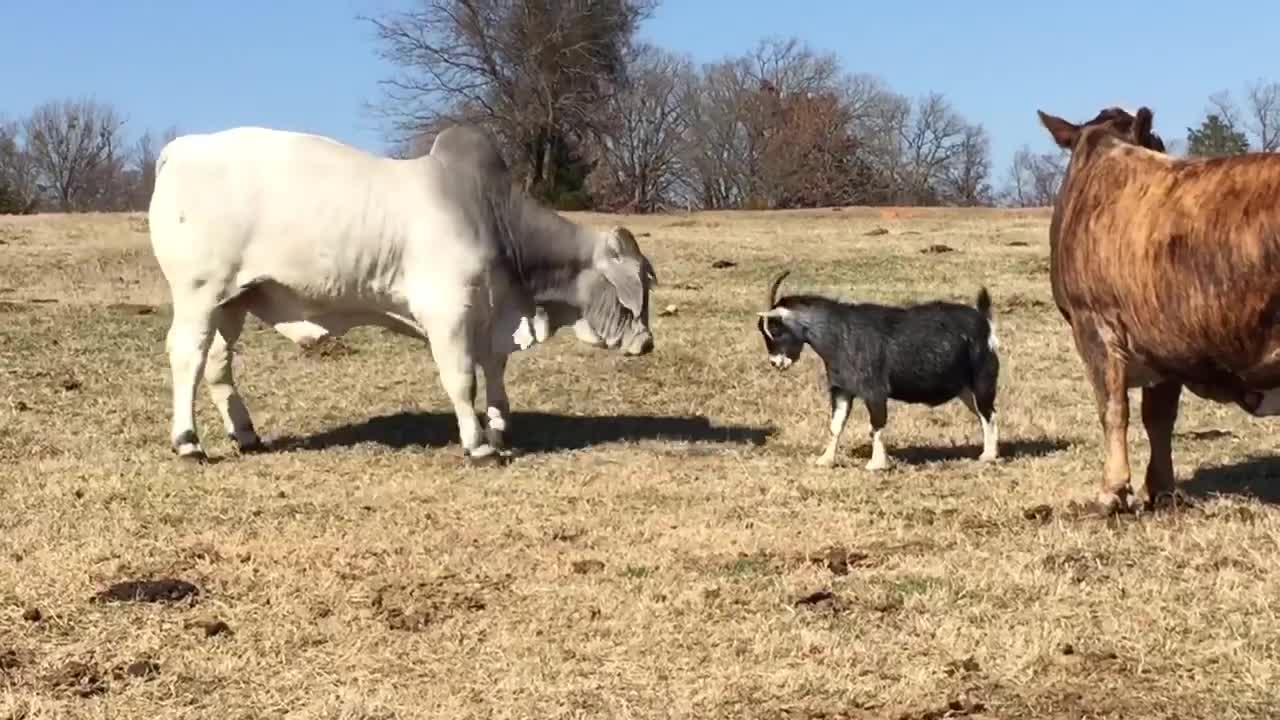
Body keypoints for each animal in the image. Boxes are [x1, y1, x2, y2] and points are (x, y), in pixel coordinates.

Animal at [147, 123, 658, 463]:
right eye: (635, 287)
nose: (647, 343)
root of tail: (178, 148)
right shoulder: (448, 314)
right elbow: (463, 380)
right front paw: (478, 446)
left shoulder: (488, 317)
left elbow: (495, 377)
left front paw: (498, 431)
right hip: (198, 292)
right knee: (188, 356)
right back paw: (189, 443)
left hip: (233, 299)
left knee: (218, 364)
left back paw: (245, 434)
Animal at [756, 271, 1001, 469]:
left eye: (775, 330)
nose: (776, 363)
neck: (839, 334)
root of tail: (984, 321)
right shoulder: (841, 389)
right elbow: (836, 426)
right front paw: (825, 460)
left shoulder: (875, 390)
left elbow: (876, 425)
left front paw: (876, 464)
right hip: (965, 389)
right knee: (984, 414)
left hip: (982, 379)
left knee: (988, 414)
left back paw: (988, 456)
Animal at [1037, 104, 1280, 513]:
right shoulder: (1167, 343)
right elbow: (1159, 418)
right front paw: (1163, 489)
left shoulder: (1093, 323)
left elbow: (1113, 409)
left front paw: (1111, 491)